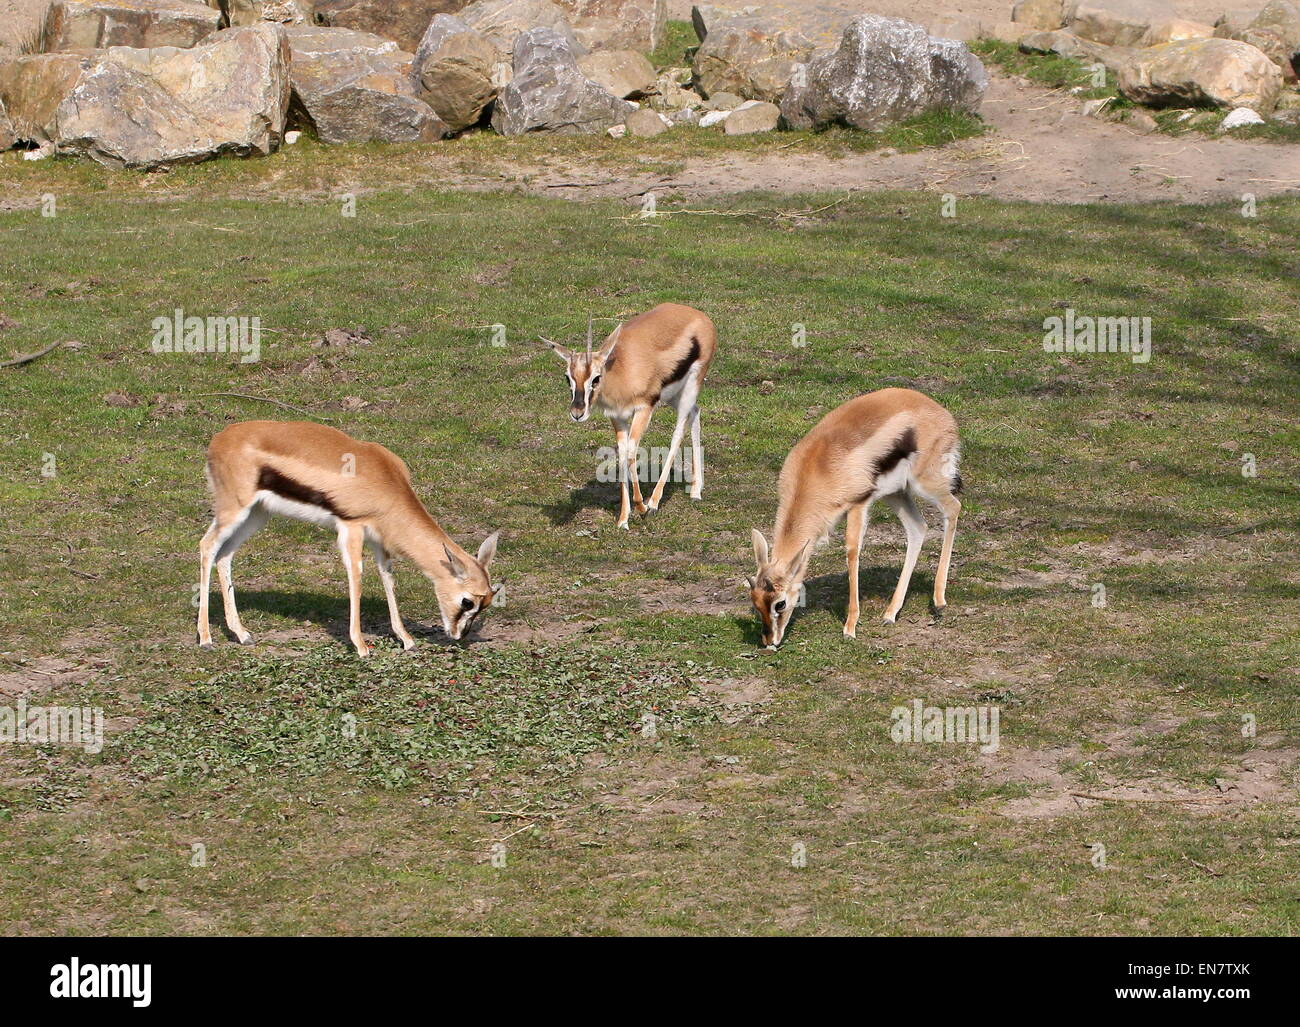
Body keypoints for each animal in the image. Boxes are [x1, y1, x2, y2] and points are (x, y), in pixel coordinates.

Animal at [197, 420, 501, 657]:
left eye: (486, 603)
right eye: (467, 602)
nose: (458, 635)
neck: (388, 483)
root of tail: (220, 438)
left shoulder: (379, 539)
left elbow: (388, 578)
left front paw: (406, 639)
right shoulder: (351, 528)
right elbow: (357, 577)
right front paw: (361, 646)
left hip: (257, 515)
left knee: (225, 554)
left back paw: (241, 634)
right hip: (234, 509)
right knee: (207, 546)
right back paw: (206, 639)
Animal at [542, 303, 717, 529]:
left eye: (596, 377)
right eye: (568, 377)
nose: (577, 413)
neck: (621, 372)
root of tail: (699, 315)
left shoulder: (644, 408)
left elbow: (633, 450)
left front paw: (642, 507)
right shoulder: (617, 416)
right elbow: (623, 452)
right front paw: (623, 519)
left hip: (691, 385)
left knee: (678, 433)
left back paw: (655, 502)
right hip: (674, 396)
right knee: (695, 413)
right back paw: (696, 490)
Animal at [748, 388, 962, 649]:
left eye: (780, 603)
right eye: (755, 602)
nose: (770, 641)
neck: (817, 469)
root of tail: (942, 413)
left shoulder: (858, 503)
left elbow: (852, 551)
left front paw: (849, 628)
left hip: (925, 483)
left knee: (953, 508)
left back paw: (939, 601)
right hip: (895, 494)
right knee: (918, 528)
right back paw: (890, 613)